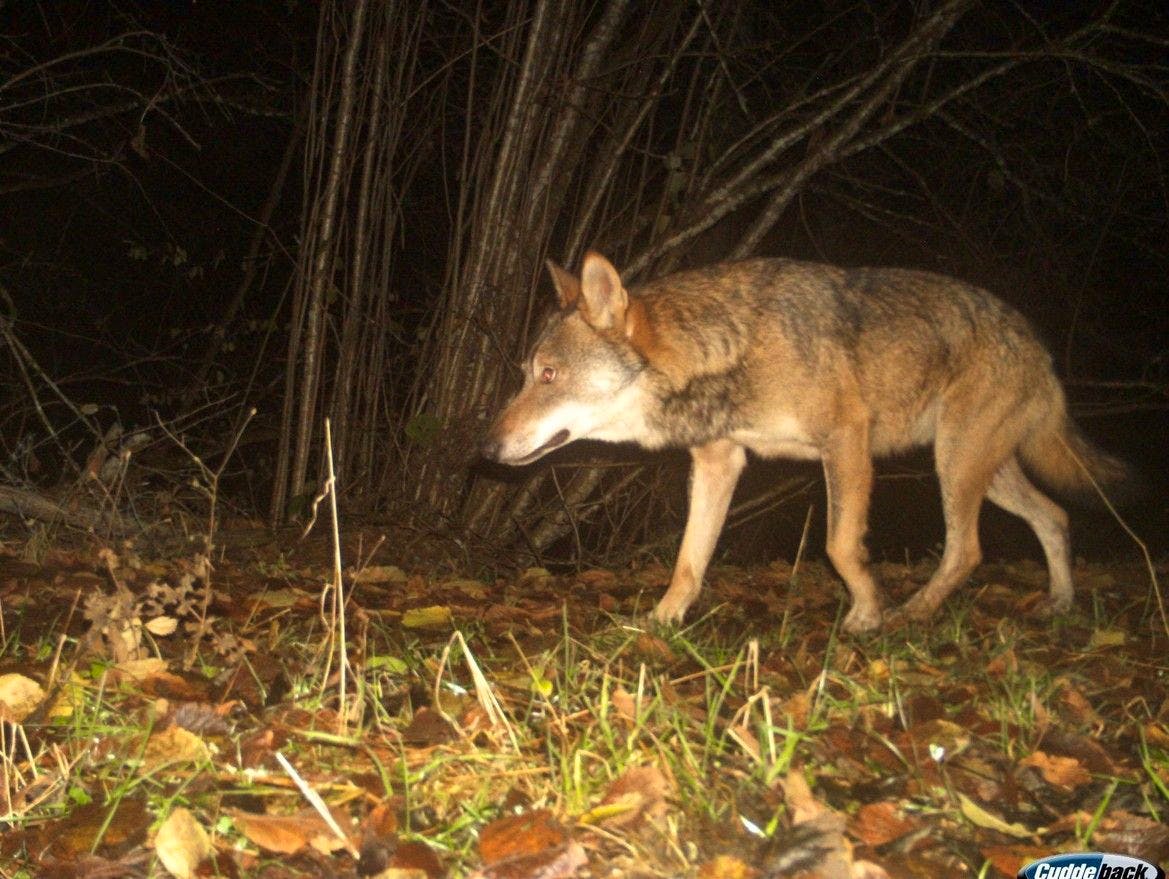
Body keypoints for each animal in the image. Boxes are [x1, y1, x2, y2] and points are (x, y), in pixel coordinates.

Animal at [480, 252, 1131, 632]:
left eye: (549, 376)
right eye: (524, 373)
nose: (484, 450)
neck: (731, 348)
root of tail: (1037, 344)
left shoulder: (846, 443)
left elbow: (840, 547)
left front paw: (866, 614)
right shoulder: (719, 461)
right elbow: (688, 561)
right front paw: (662, 622)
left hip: (957, 464)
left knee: (968, 550)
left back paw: (912, 613)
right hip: (979, 469)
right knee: (1054, 517)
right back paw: (1060, 604)